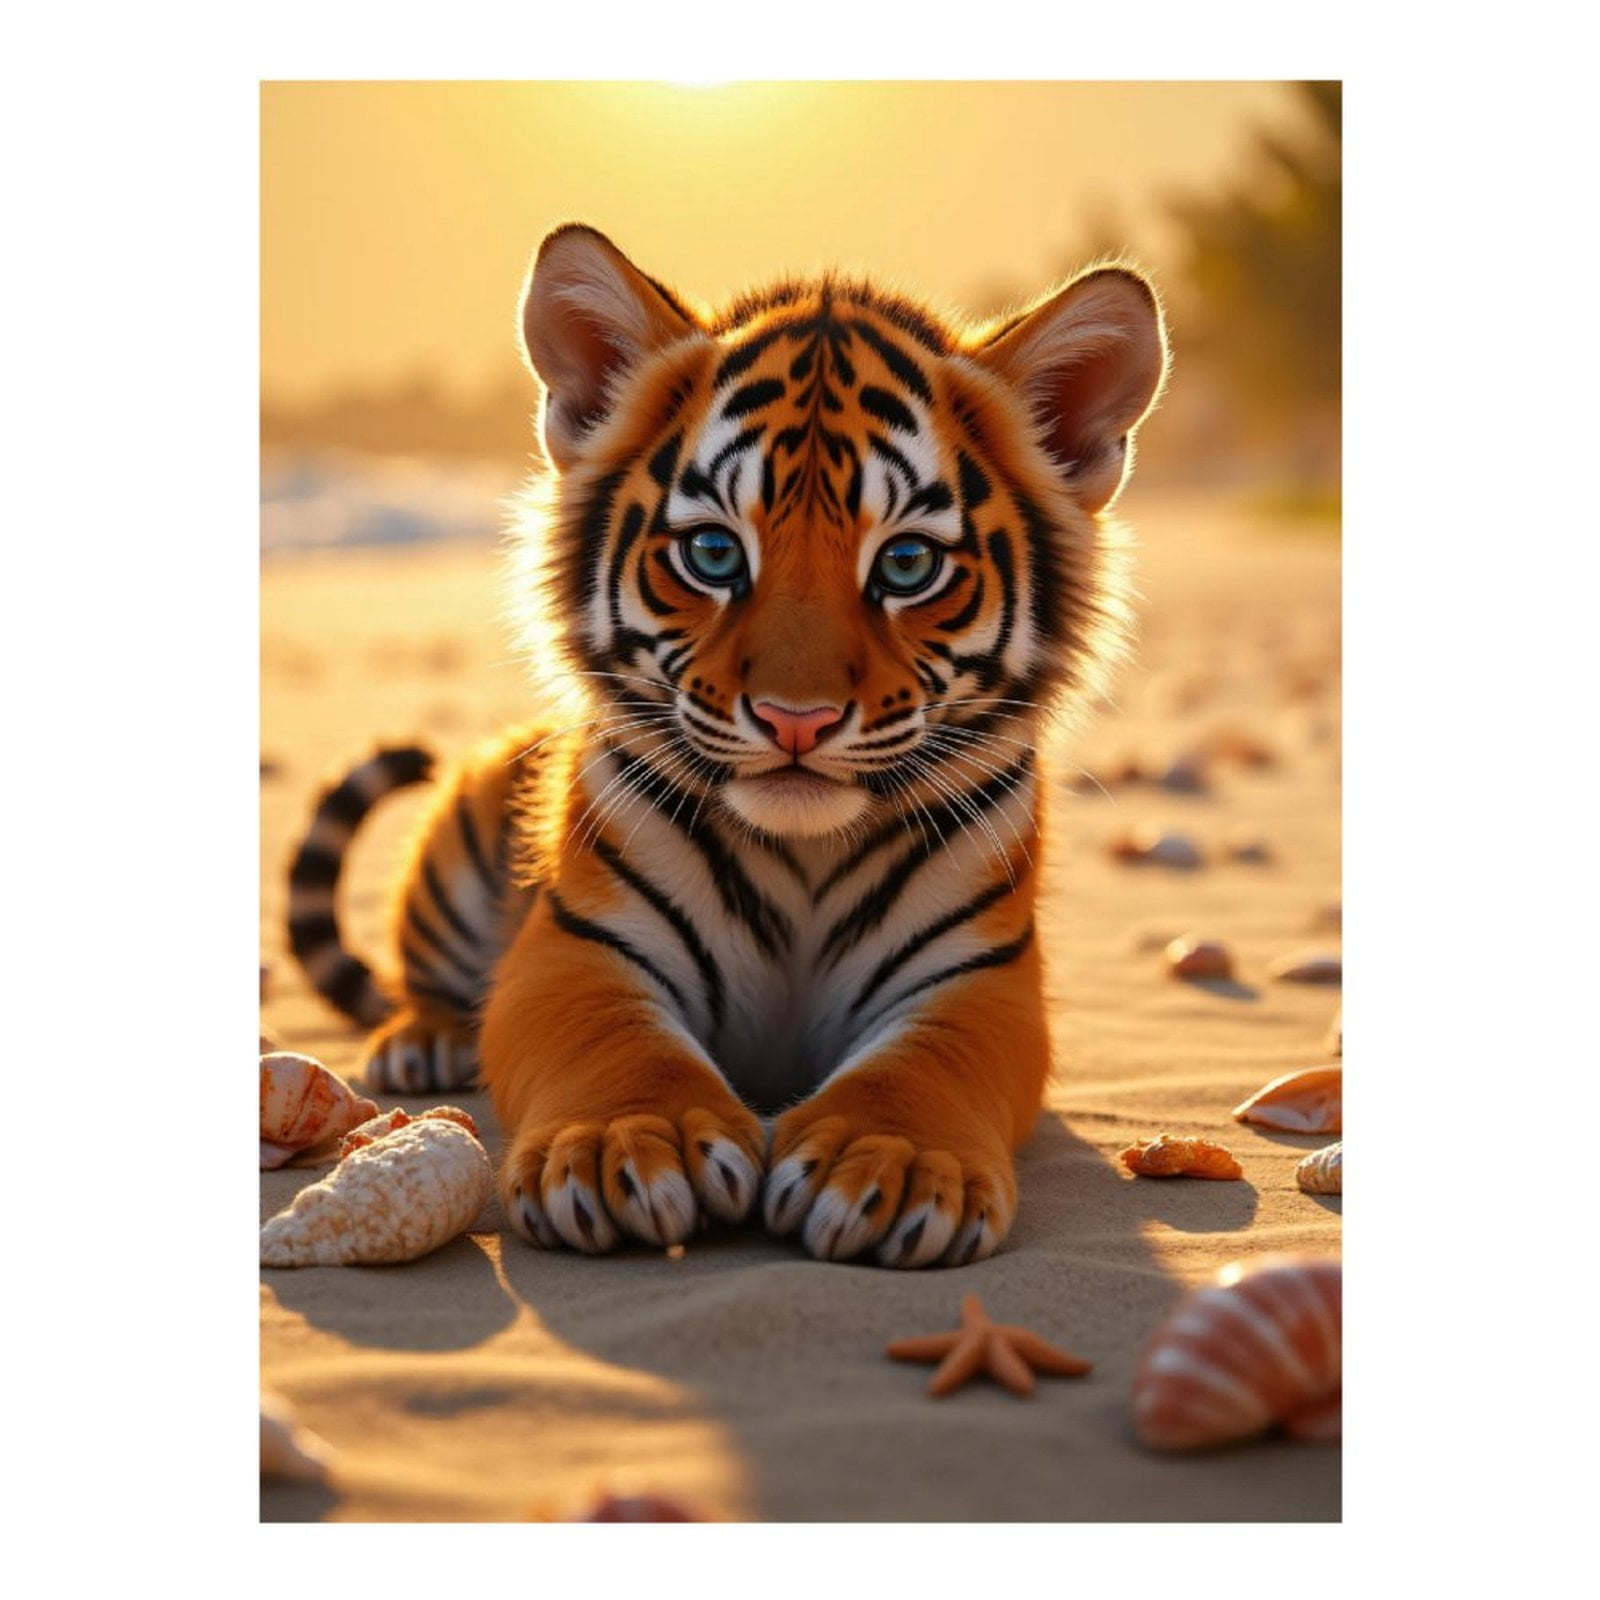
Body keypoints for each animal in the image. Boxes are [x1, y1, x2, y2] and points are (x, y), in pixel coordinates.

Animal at [287, 222, 1167, 1268]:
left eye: (907, 563)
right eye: (713, 554)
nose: (797, 718)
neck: (805, 857)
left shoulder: (975, 974)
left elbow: (924, 1065)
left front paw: (890, 1164)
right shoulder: (581, 943)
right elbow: (612, 1041)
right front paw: (628, 1144)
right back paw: (425, 1041)